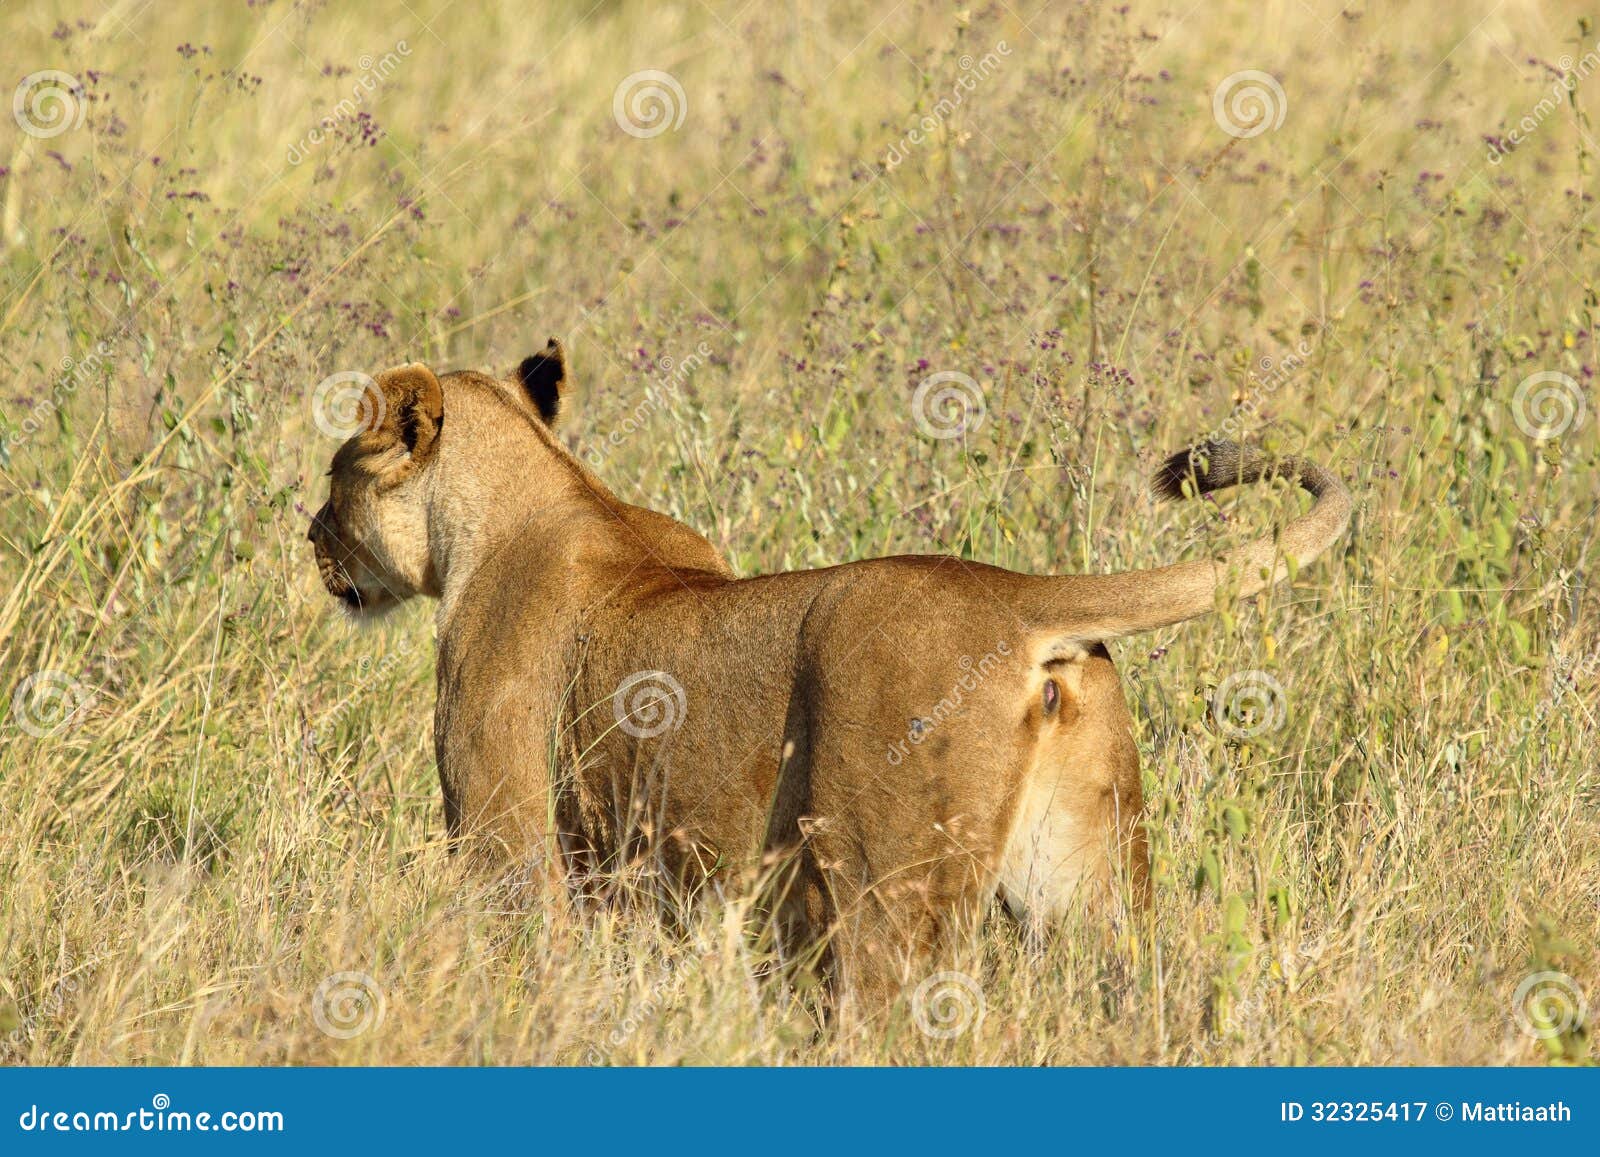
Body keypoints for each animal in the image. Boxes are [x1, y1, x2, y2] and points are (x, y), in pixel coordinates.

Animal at [307, 342, 1351, 1012]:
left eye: (332, 478)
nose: (309, 536)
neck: (533, 500)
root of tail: (1017, 598)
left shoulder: (511, 842)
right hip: (1087, 882)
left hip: (881, 881)